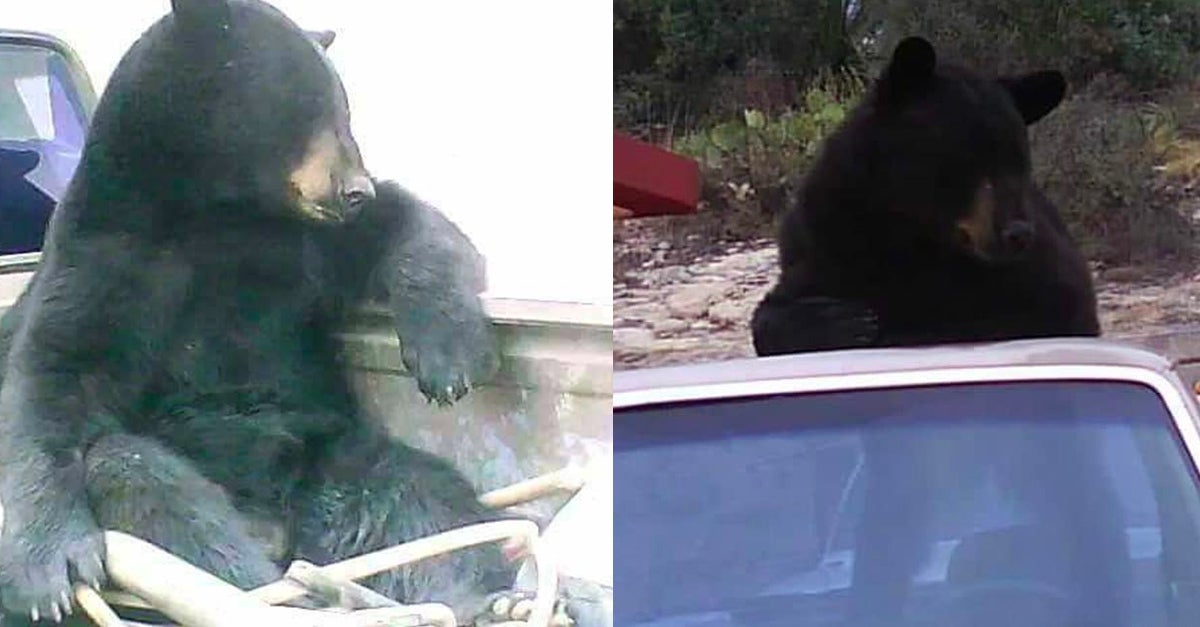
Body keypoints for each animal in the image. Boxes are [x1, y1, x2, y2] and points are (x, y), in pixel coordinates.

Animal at [0, 0, 539, 624]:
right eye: (315, 106)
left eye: (344, 108)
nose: (356, 189)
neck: (217, 209)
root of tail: (280, 525)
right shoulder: (109, 249)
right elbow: (57, 374)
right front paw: (48, 568)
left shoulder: (303, 242)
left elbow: (409, 226)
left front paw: (449, 356)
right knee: (140, 480)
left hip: (335, 459)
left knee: (418, 501)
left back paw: (485, 594)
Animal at [751, 36, 1100, 357]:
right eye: (970, 158)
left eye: (1019, 163)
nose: (1018, 233)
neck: (914, 233)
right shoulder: (828, 238)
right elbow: (775, 314)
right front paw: (843, 320)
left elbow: (1051, 301)